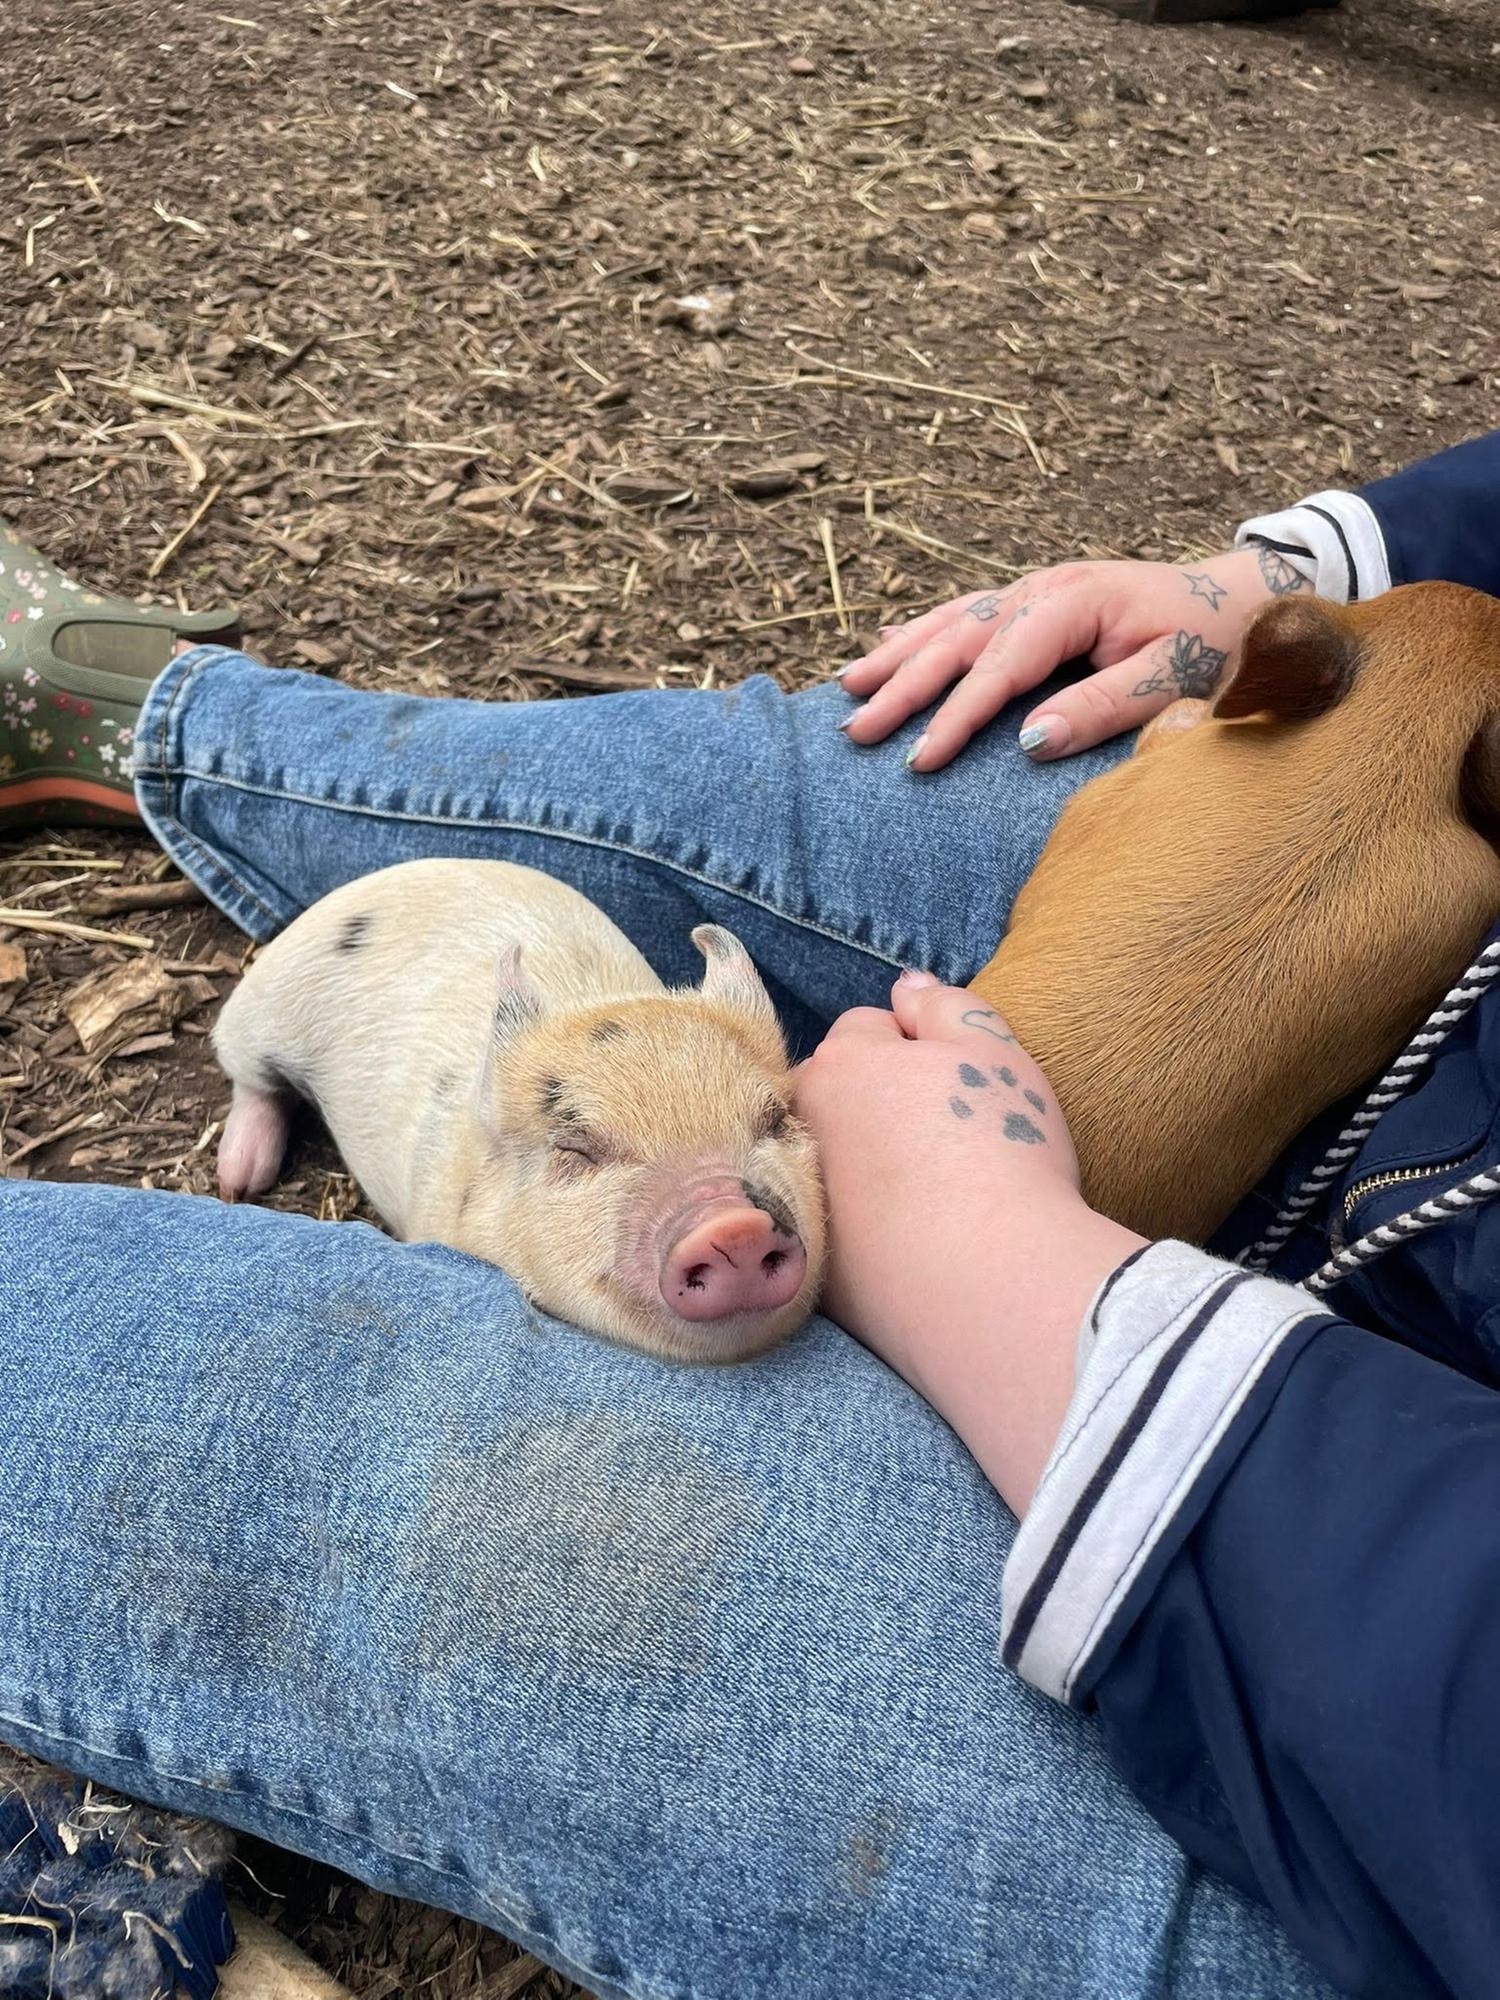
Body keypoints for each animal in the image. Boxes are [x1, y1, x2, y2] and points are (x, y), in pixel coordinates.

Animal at [212, 859, 824, 1363]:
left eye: (775, 1119)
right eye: (575, 1148)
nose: (736, 1224)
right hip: (262, 1010)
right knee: (248, 1077)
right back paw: (239, 1181)